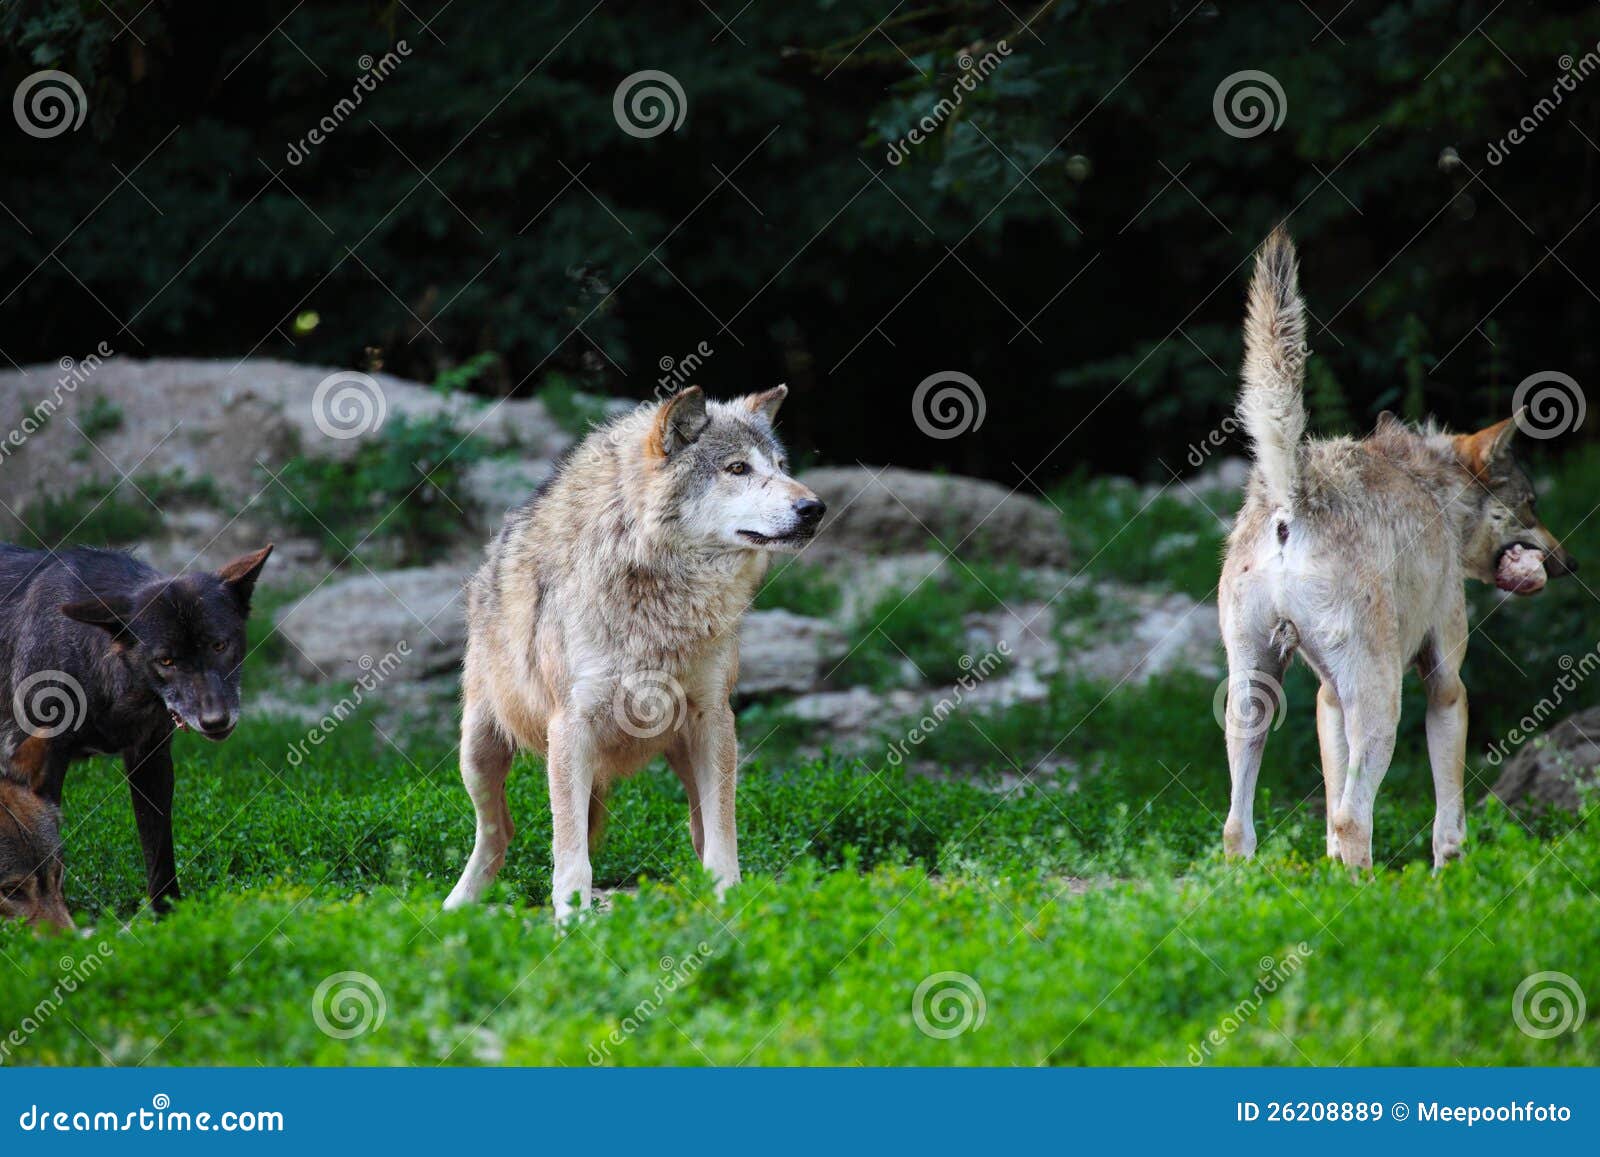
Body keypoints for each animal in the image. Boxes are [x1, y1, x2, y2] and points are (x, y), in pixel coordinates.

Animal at [0, 543, 273, 912]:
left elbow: (159, 855)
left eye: (219, 645)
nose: (215, 720)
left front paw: (170, 918)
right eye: (166, 661)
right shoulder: (44, 766)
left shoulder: (150, 758)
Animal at [443, 385, 825, 918]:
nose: (815, 507)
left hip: (691, 756)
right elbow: (571, 857)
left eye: (780, 465)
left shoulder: (714, 718)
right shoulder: (571, 726)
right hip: (478, 754)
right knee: (500, 831)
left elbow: (723, 840)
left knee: (699, 833)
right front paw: (573, 923)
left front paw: (728, 905)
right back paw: (455, 907)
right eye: (737, 469)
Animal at [1220, 227, 1576, 870]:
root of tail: (1293, 496)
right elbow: (1447, 817)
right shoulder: (1446, 686)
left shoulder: (1327, 701)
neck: (1430, 485)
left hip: (1251, 697)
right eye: (1533, 504)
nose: (1569, 563)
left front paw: (1331, 877)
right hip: (1385, 703)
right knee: (1354, 817)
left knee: (1242, 827)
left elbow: (1329, 826)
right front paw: (1447, 877)